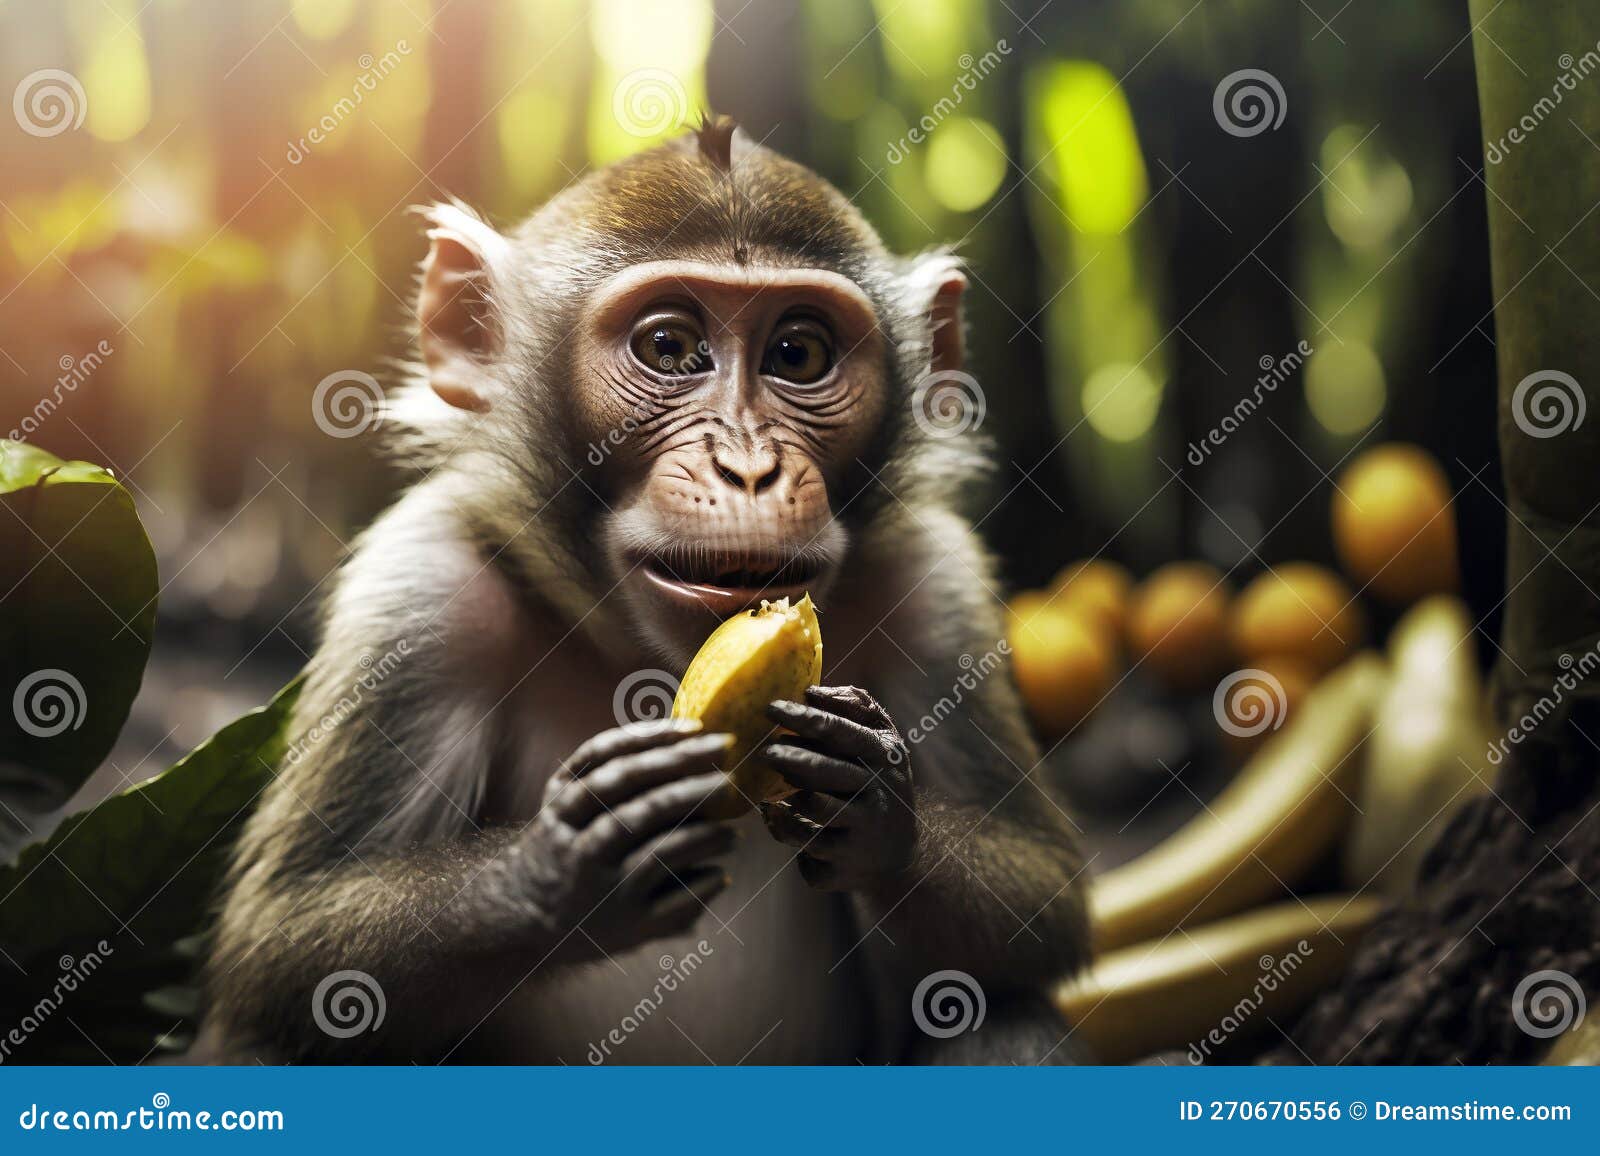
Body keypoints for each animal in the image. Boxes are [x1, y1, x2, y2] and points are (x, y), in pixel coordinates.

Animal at [195, 117, 1091, 1065]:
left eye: (798, 353)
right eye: (668, 348)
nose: (748, 467)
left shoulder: (936, 585)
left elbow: (1041, 908)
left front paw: (873, 802)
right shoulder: (417, 589)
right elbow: (286, 946)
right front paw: (571, 860)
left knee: (1007, 1015)